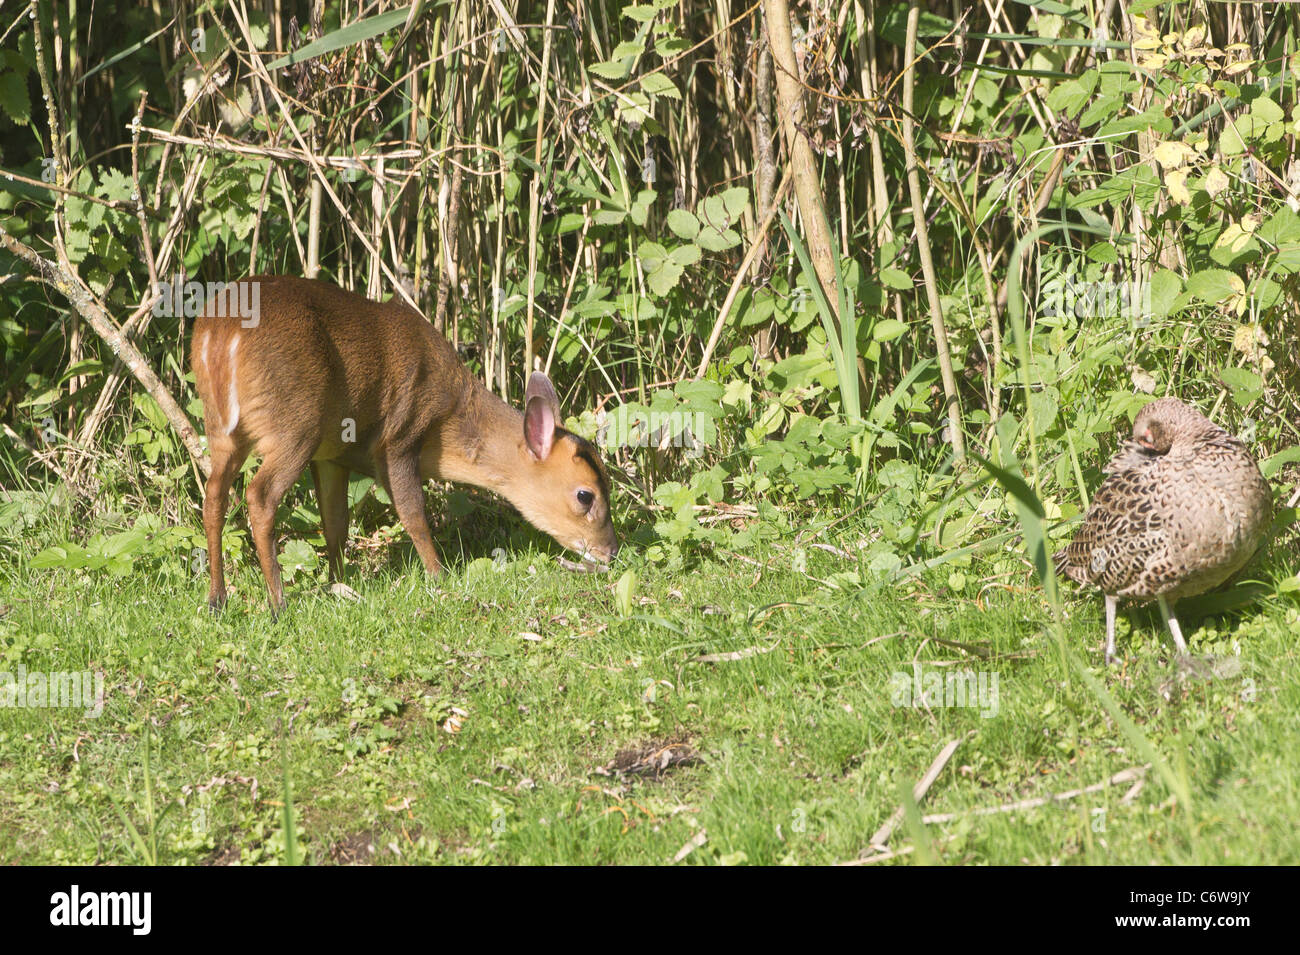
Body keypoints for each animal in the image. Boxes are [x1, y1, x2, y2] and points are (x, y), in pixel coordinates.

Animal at [190, 275, 618, 613]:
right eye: (586, 496)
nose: (611, 551)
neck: (451, 414)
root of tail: (220, 337)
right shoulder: (398, 437)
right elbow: (413, 512)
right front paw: (438, 574)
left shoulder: (333, 456)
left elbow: (335, 523)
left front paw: (338, 582)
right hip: (295, 424)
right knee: (259, 495)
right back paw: (278, 603)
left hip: (223, 429)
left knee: (213, 496)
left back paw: (217, 598)